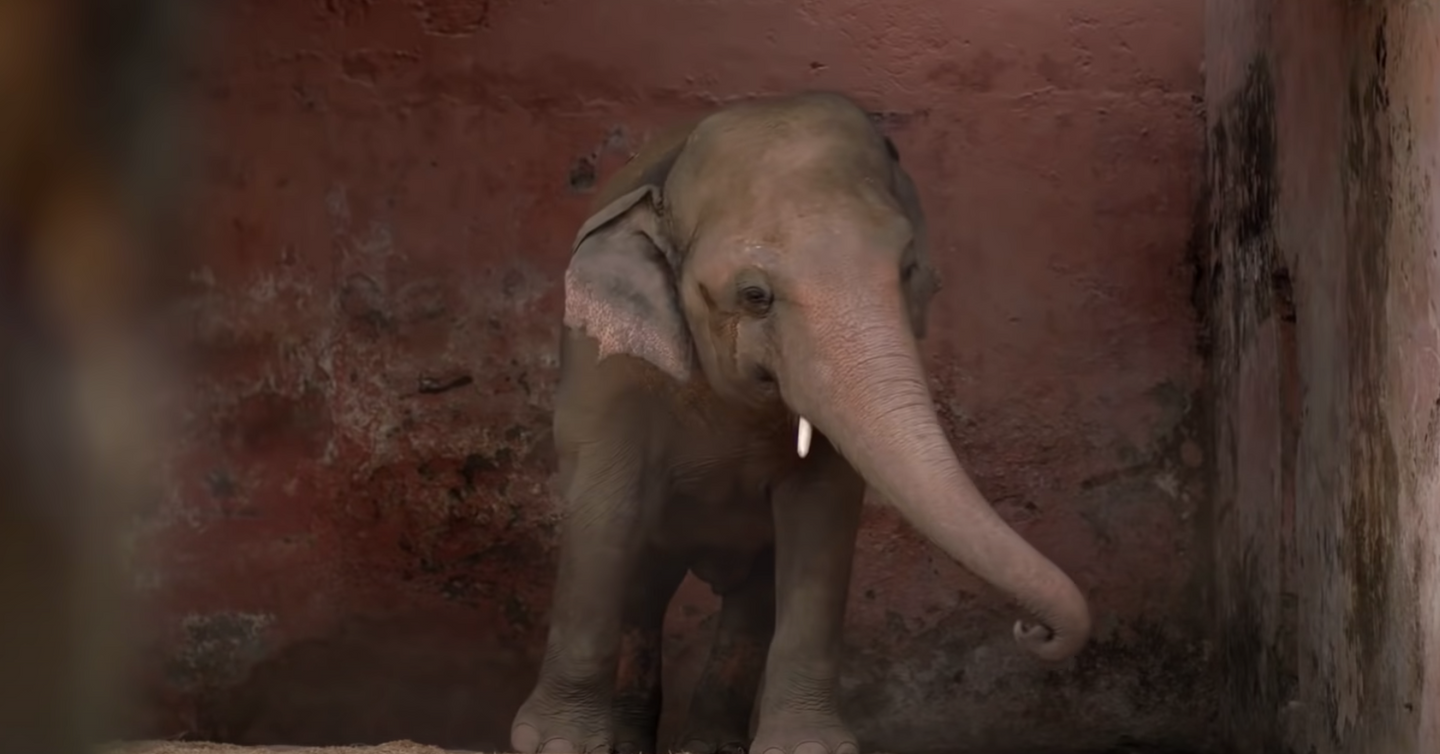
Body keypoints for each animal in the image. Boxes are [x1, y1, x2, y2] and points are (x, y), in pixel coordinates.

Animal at [511, 91, 1092, 754]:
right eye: (754, 295)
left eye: (908, 269)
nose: (1032, 631)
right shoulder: (605, 371)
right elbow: (606, 507)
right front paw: (555, 746)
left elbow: (821, 518)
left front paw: (808, 749)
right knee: (645, 584)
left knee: (751, 595)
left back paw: (710, 746)